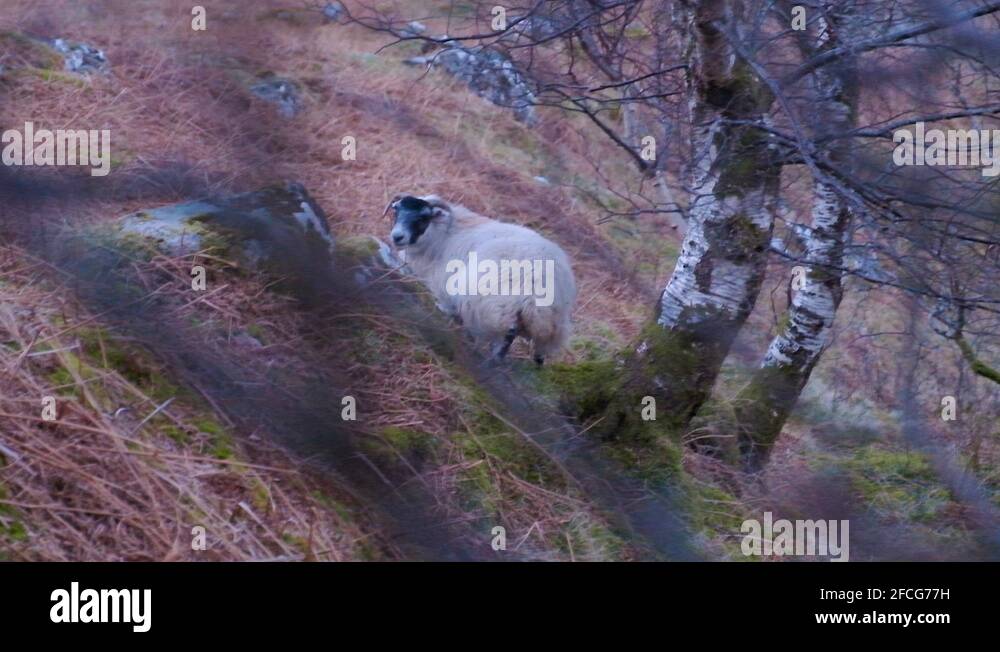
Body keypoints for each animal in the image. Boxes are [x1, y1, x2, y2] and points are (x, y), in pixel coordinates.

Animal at [386, 194, 576, 365]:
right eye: (397, 212)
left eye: (422, 217)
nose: (397, 237)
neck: (443, 236)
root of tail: (540, 275)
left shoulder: (445, 284)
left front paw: (444, 311)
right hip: (552, 317)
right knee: (540, 343)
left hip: (495, 302)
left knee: (509, 330)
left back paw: (495, 357)